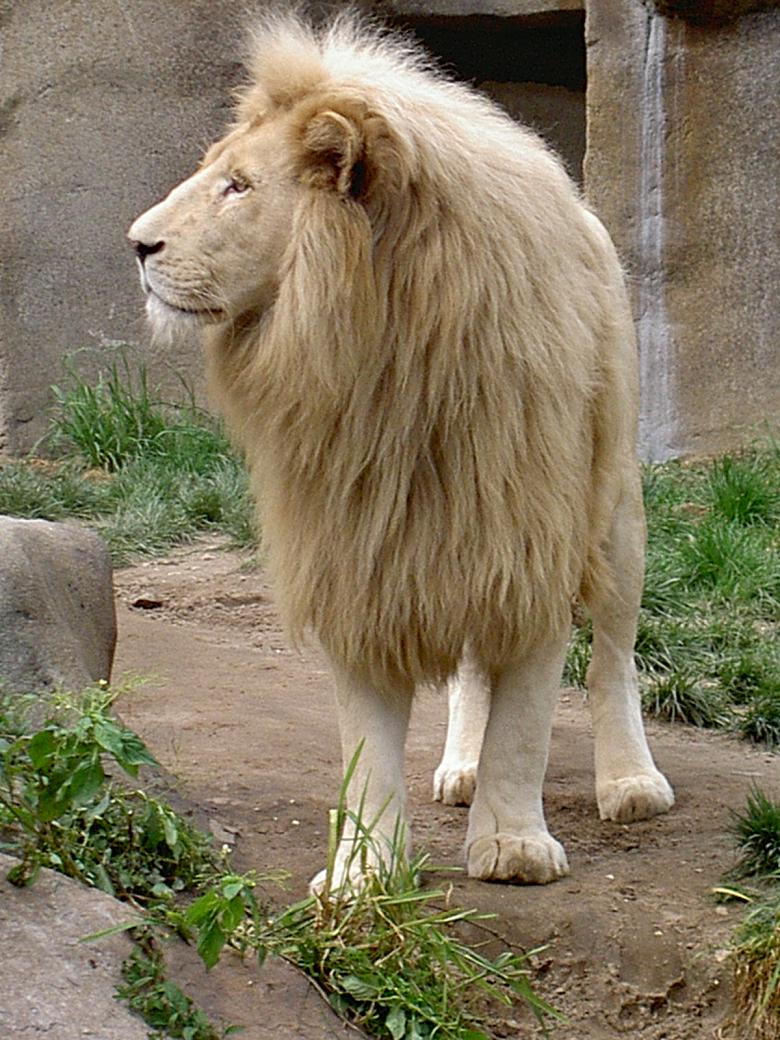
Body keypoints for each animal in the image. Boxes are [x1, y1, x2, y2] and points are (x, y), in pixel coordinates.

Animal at [128, 13, 674, 890]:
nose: (137, 245)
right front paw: (362, 874)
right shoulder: (359, 548)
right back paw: (461, 768)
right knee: (473, 673)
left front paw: (513, 846)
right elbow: (368, 743)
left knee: (614, 658)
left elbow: (528, 716)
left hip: (615, 511)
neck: (377, 364)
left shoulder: (532, 534)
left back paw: (630, 780)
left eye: (239, 186)